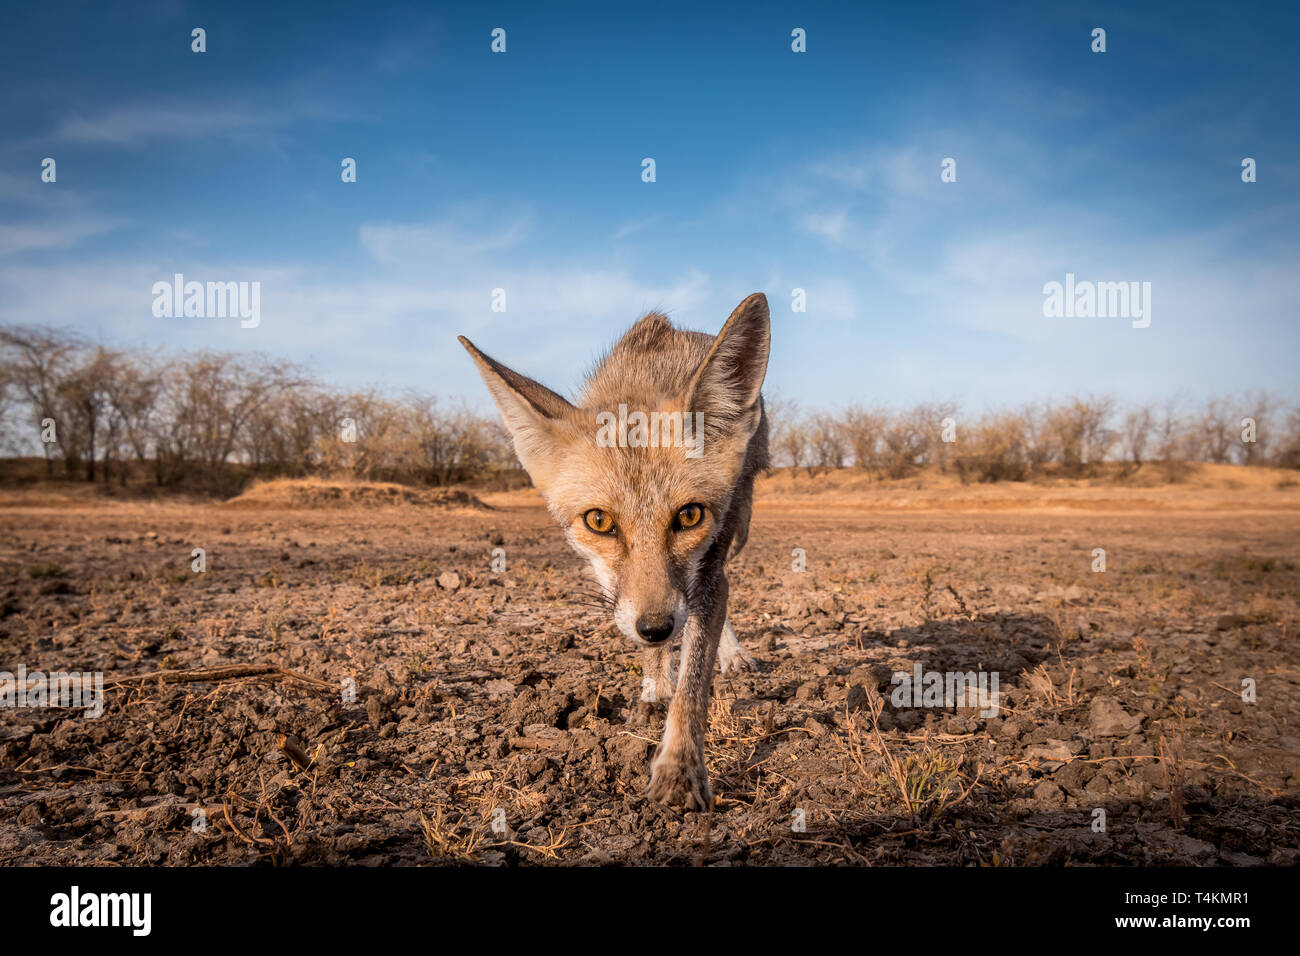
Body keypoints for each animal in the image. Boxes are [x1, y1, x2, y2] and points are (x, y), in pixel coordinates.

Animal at [458, 292, 770, 811]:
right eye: (599, 522)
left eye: (689, 516)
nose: (656, 627)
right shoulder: (637, 605)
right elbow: (658, 658)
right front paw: (653, 691)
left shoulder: (707, 570)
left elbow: (694, 681)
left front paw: (679, 770)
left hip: (739, 528)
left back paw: (730, 652)